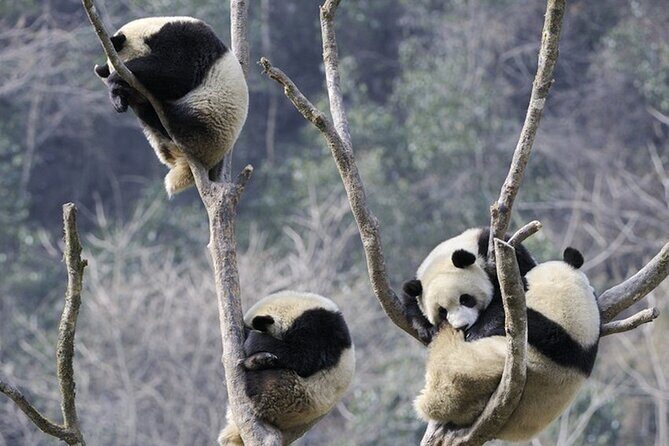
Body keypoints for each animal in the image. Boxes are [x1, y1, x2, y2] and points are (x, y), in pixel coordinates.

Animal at [94, 17, 249, 196]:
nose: (123, 98)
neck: (150, 29)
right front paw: (119, 97)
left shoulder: (186, 38)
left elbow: (176, 71)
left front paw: (116, 80)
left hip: (207, 118)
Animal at [218, 291, 355, 445]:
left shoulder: (321, 328)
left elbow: (304, 357)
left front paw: (252, 340)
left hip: (293, 396)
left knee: (266, 385)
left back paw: (257, 362)